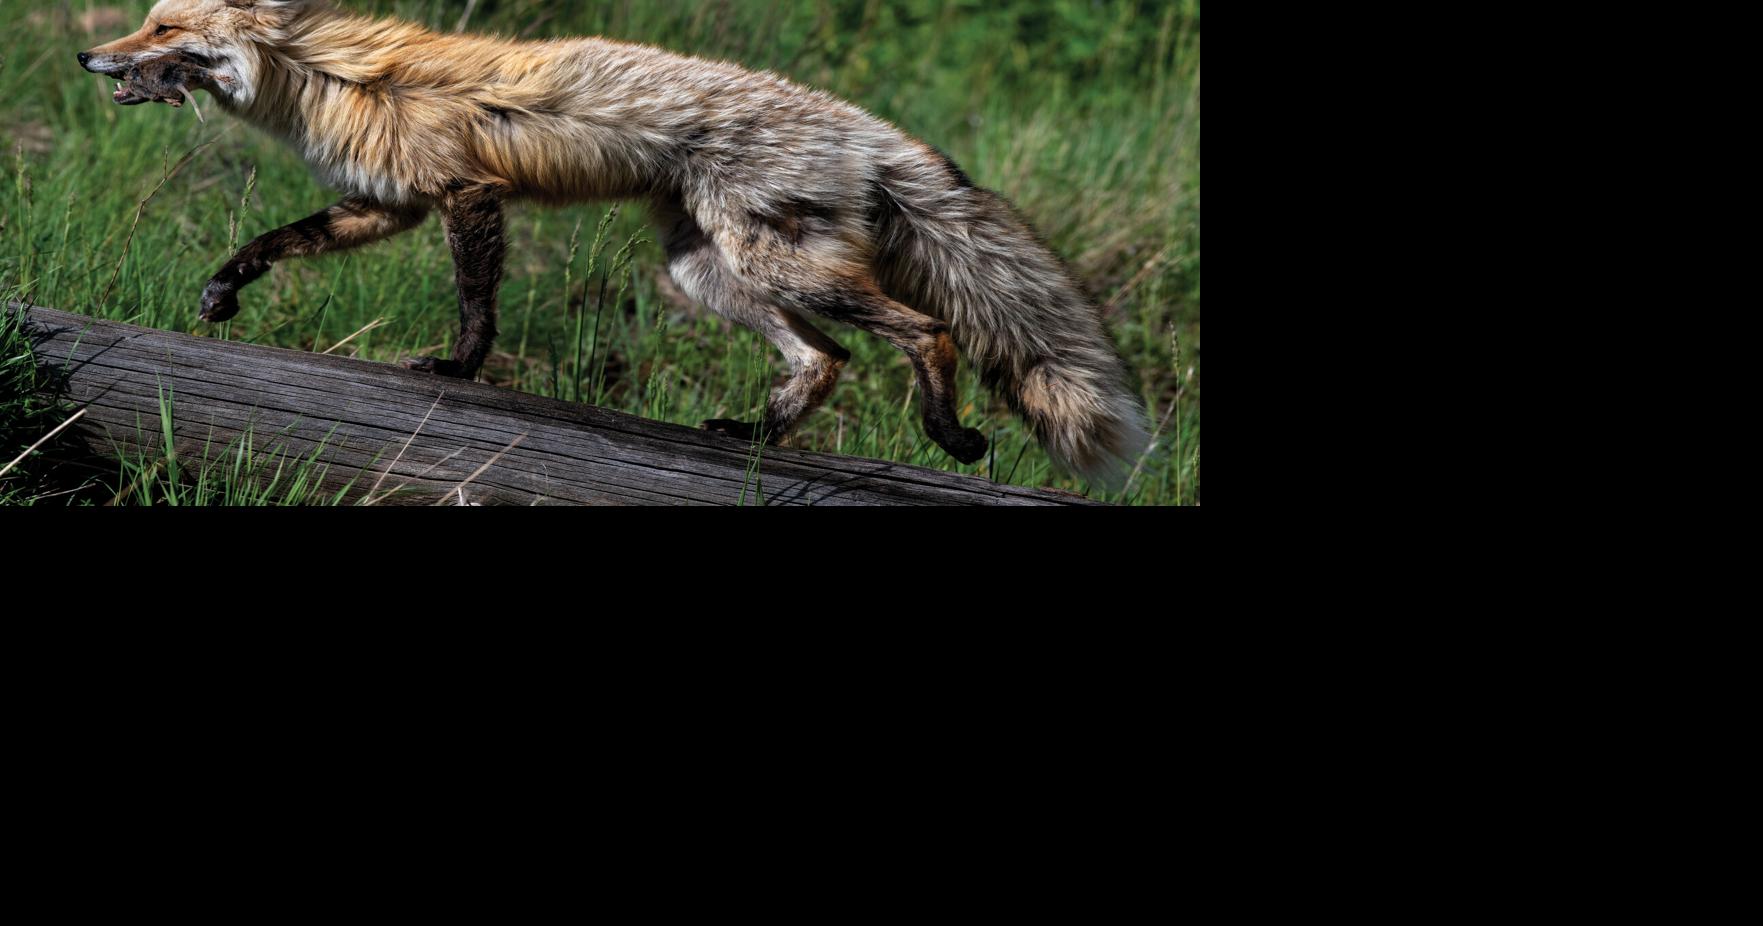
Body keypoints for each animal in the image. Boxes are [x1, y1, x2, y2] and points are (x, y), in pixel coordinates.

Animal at [80, 0, 1151, 483]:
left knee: (927, 329)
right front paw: (225, 291)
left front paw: (459, 371)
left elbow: (476, 308)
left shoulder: (467, 195)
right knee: (824, 360)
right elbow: (276, 239)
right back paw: (756, 436)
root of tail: (871, 131)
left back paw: (946, 431)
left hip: (768, 261)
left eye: (163, 27)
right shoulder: (387, 205)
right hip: (704, 270)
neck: (328, 75)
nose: (89, 54)